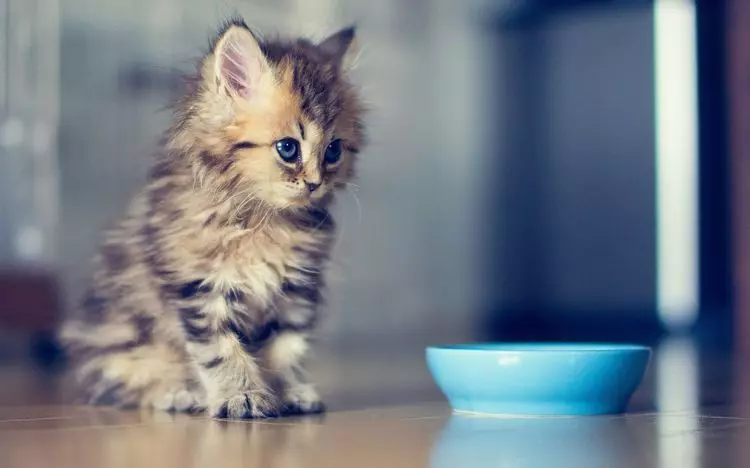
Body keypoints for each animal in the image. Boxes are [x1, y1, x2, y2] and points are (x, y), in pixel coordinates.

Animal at [58, 19, 364, 420]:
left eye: (333, 151)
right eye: (288, 148)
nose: (315, 183)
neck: (263, 219)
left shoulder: (295, 291)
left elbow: (285, 349)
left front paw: (288, 391)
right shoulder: (201, 287)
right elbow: (222, 351)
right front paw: (242, 395)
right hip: (118, 343)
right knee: (122, 383)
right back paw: (178, 392)